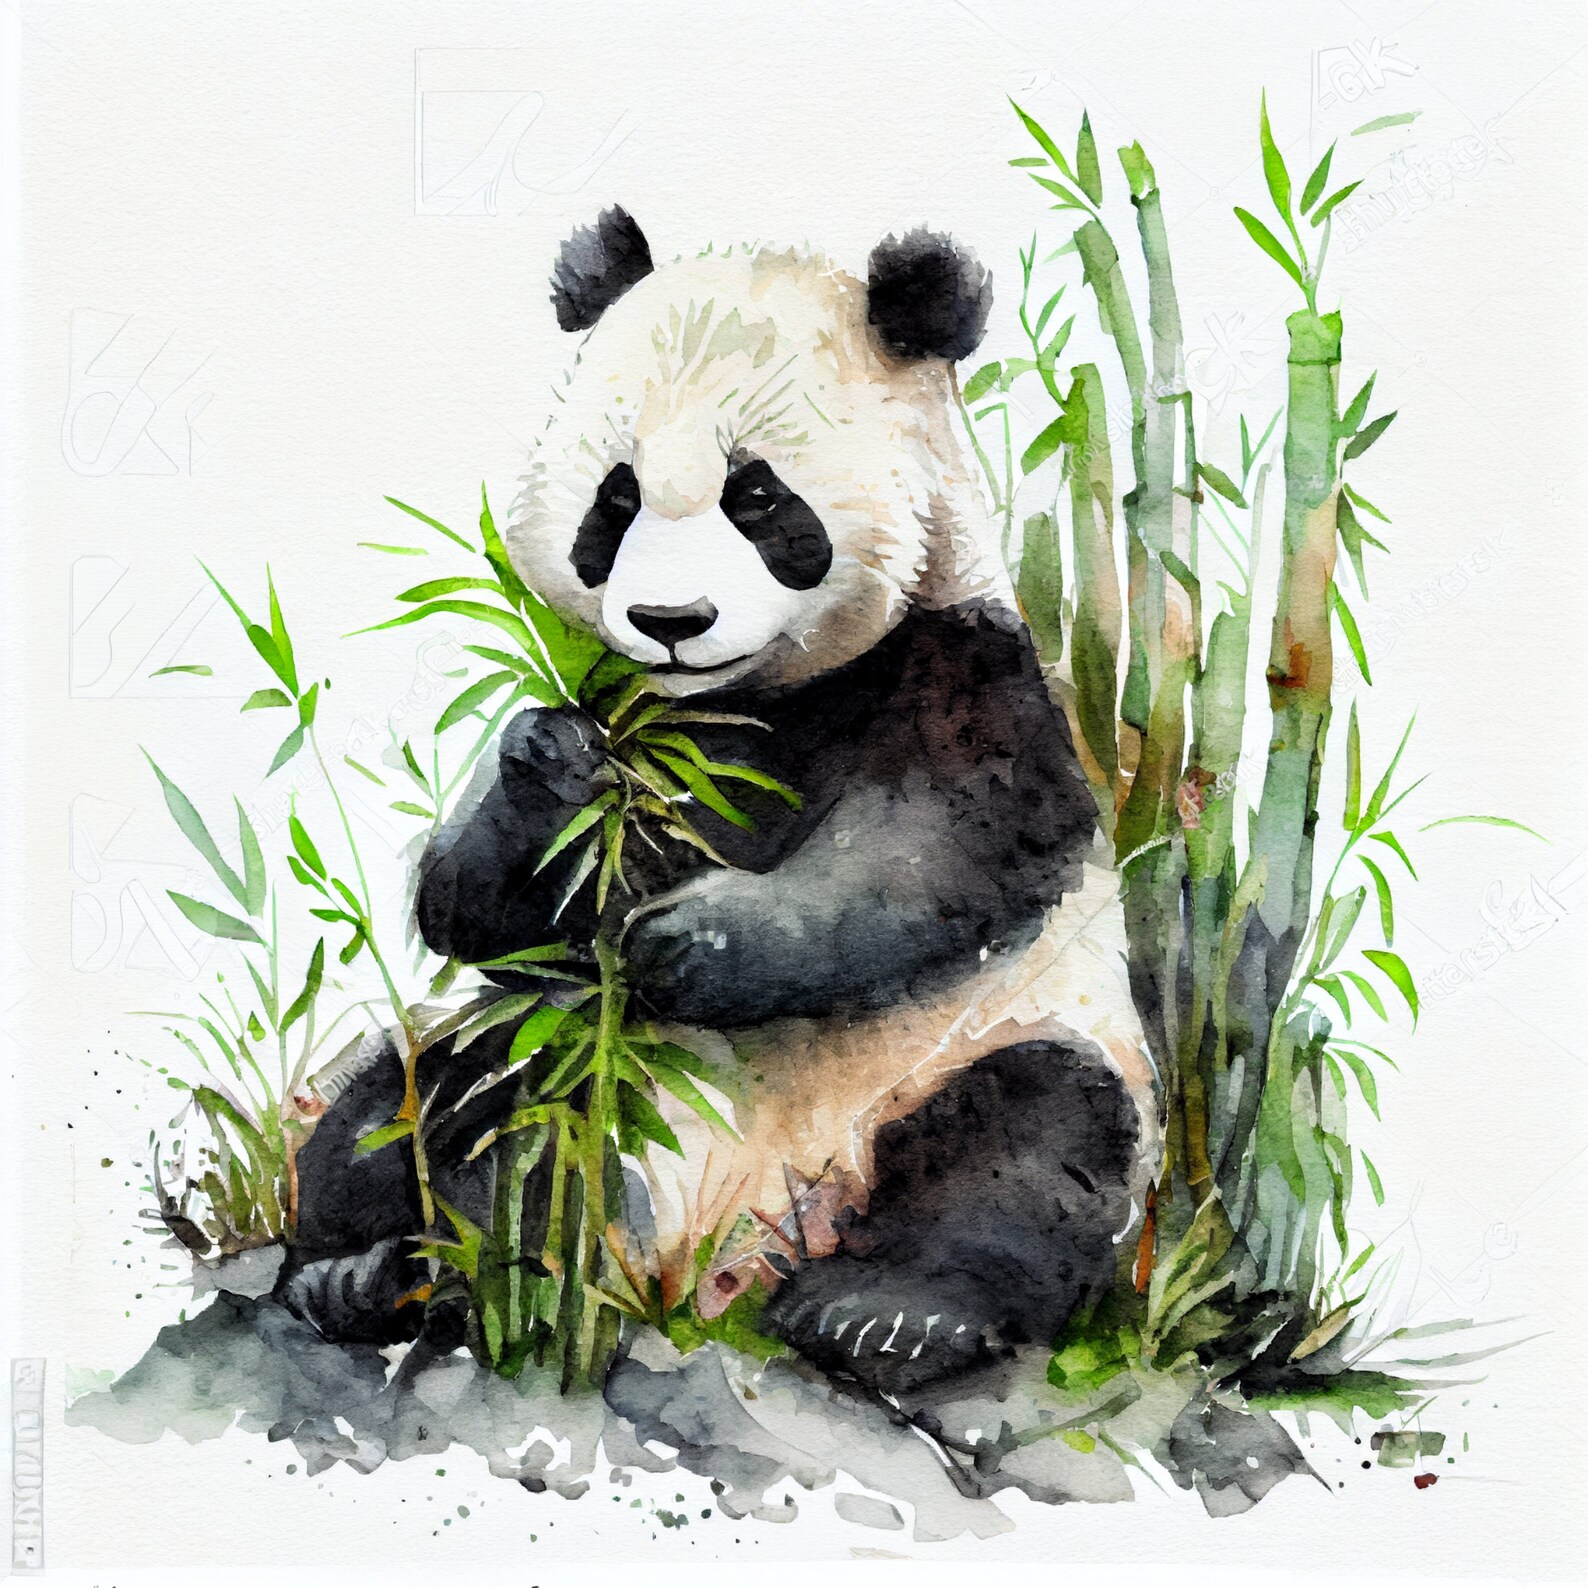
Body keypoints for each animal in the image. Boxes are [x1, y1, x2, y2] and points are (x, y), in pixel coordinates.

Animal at [278, 208, 1159, 1398]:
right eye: (615, 499)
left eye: (759, 498)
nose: (669, 620)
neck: (752, 697)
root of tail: (711, 1263)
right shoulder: (638, 724)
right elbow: (476, 903)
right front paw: (549, 764)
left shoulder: (970, 669)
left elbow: (939, 853)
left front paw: (689, 943)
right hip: (560, 1059)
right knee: (426, 1108)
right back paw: (384, 1273)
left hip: (978, 1047)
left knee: (1031, 1136)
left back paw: (883, 1314)